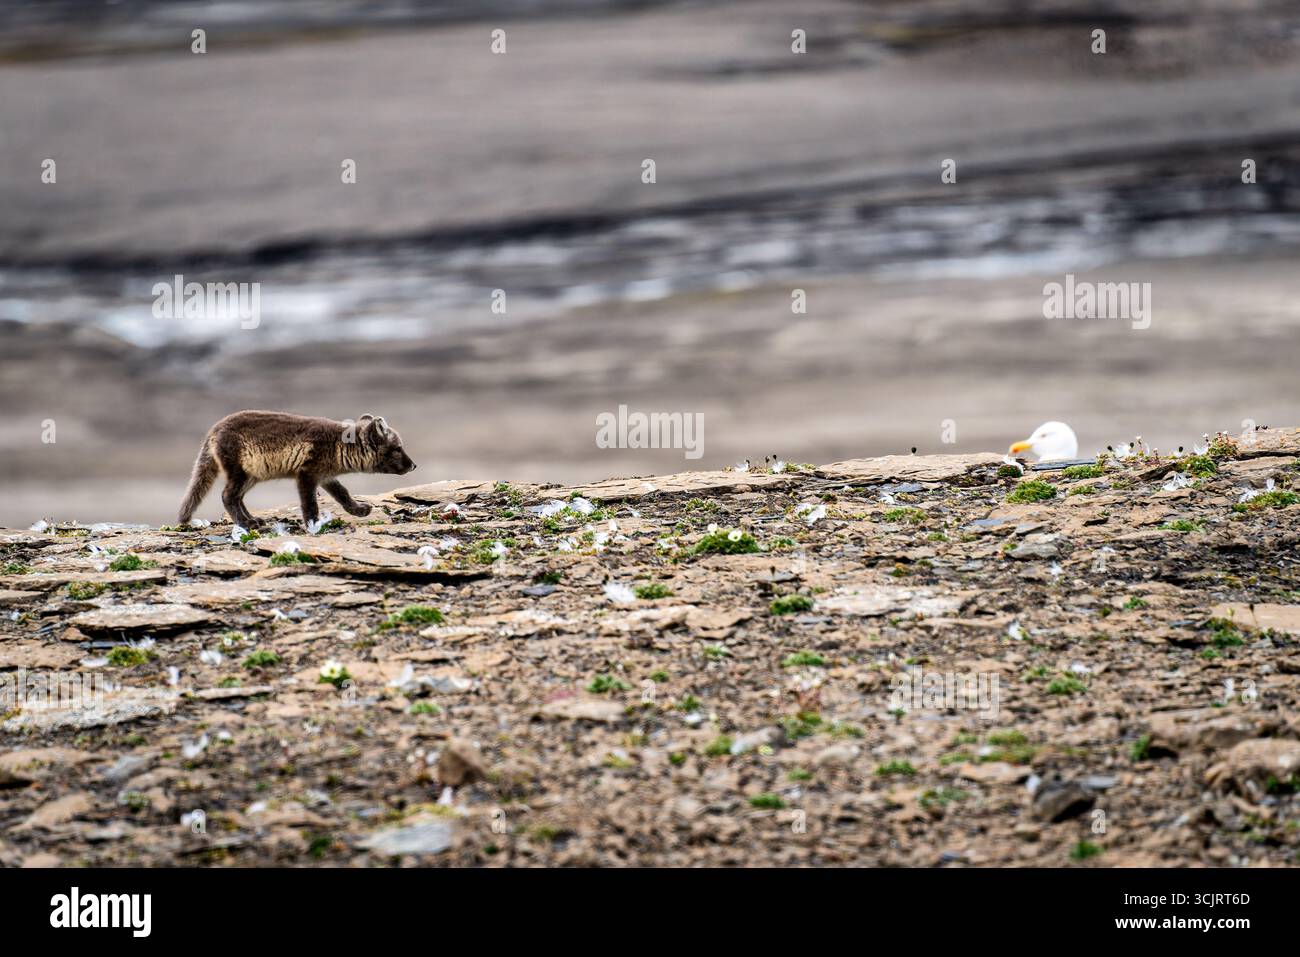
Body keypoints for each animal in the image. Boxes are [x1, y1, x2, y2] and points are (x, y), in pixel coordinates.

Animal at [177, 411, 416, 528]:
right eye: (398, 448)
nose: (414, 465)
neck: (339, 445)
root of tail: (213, 429)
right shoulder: (307, 474)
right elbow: (309, 503)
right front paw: (314, 524)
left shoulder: (325, 476)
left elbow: (342, 493)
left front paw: (358, 510)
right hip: (240, 473)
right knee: (227, 496)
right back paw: (246, 522)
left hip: (252, 476)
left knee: (237, 497)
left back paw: (254, 519)